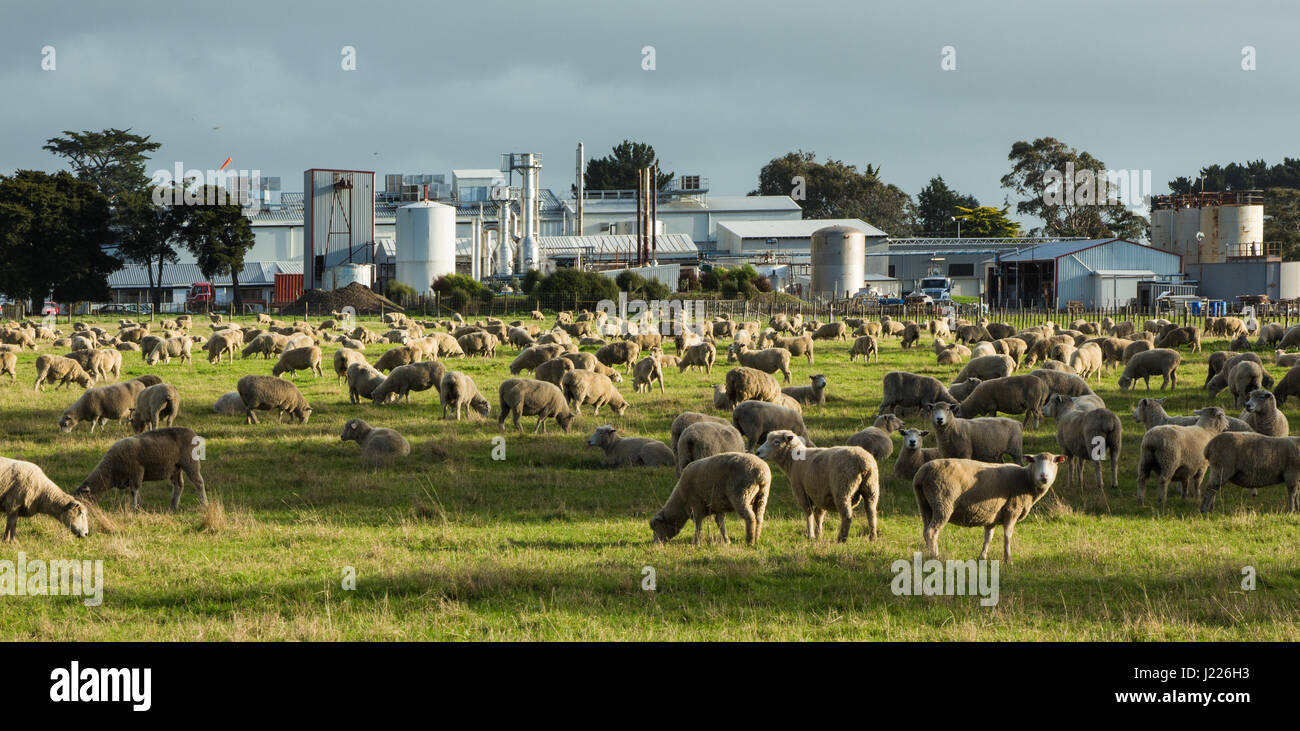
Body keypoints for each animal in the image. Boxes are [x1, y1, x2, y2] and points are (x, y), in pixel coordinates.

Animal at [913, 452, 1066, 562]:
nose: (1044, 477)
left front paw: (982, 557)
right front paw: (1008, 560)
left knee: (925, 531)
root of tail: (921, 474)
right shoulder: (1012, 510)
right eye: (1034, 461)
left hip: (925, 505)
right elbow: (1007, 536)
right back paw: (935, 557)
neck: (1025, 480)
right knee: (932, 532)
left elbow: (988, 537)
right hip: (943, 502)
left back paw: (929, 555)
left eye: (1054, 462)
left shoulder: (992, 515)